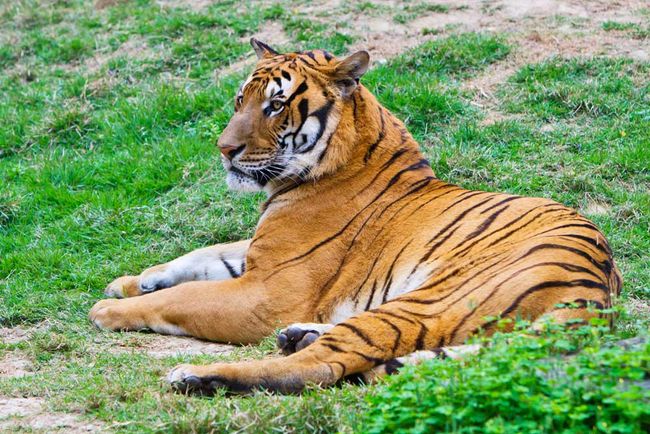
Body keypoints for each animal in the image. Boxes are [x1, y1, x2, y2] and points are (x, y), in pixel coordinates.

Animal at [89, 38, 622, 394]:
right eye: (240, 100)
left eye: (275, 105)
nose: (224, 150)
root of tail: (597, 293)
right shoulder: (259, 254)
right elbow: (204, 255)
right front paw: (132, 281)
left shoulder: (267, 292)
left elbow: (183, 298)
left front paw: (109, 309)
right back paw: (299, 334)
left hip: (432, 297)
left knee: (325, 365)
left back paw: (197, 375)